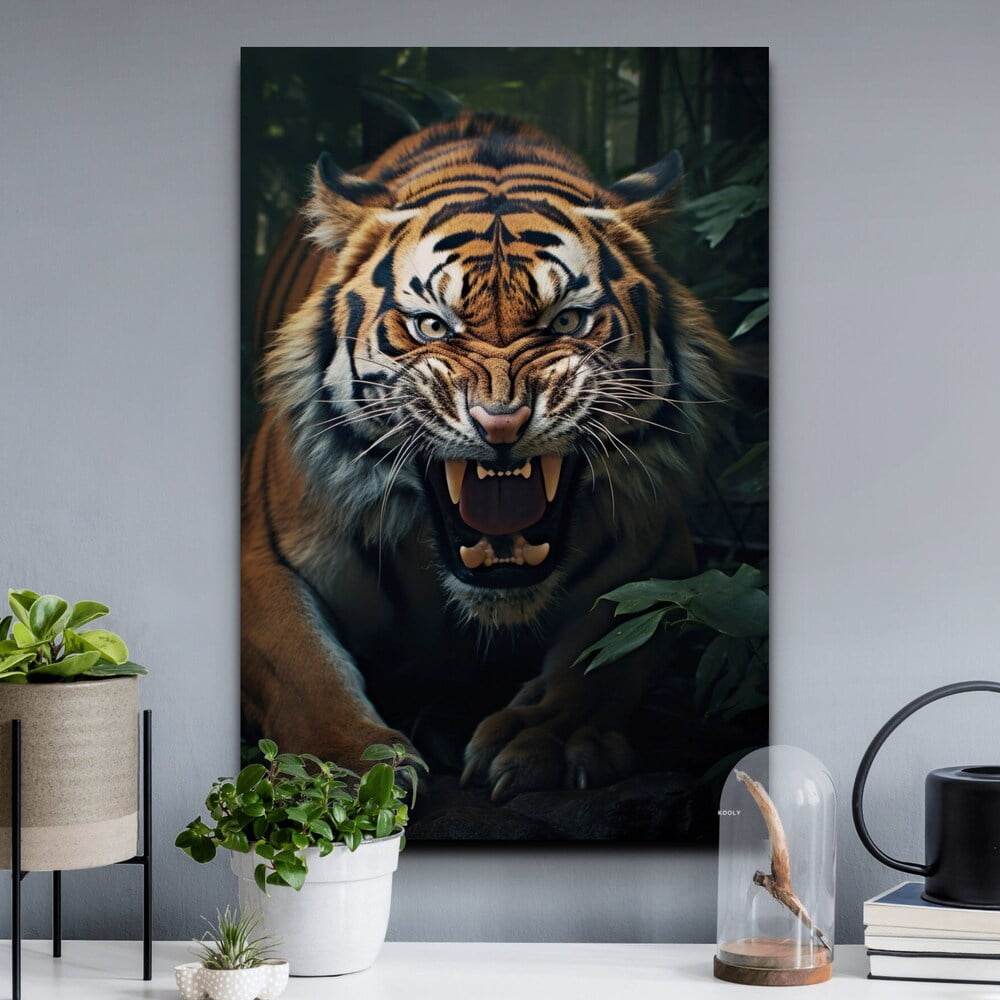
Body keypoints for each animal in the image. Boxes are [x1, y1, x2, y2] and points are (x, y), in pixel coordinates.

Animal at [241, 113, 732, 806]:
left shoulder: (663, 568)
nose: (501, 422)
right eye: (431, 326)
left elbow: (602, 659)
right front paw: (341, 767)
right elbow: (303, 667)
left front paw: (544, 738)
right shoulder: (262, 556)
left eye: (568, 321)